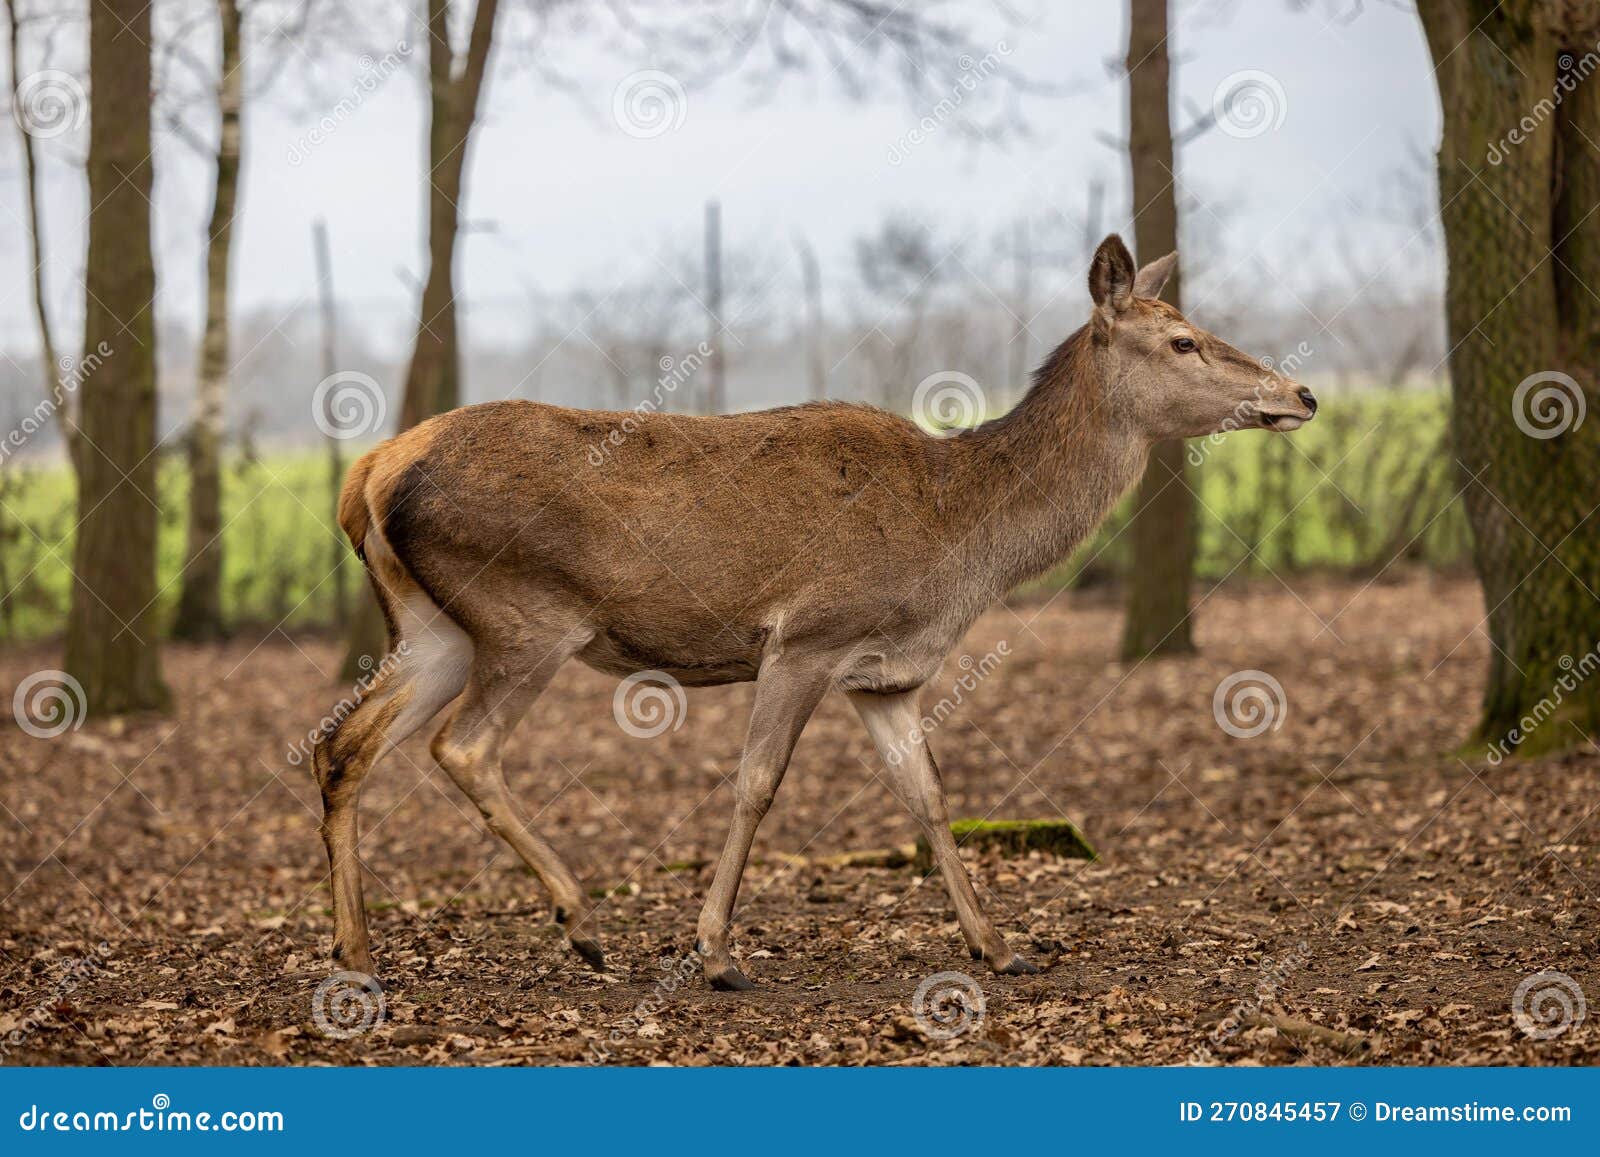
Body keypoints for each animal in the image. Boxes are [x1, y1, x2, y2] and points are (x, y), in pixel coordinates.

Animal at [309, 235, 1317, 990]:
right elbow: (757, 782)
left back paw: (358, 952)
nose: (1301, 392)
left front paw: (998, 945)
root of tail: (369, 474)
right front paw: (716, 951)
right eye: (1183, 340)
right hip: (528, 616)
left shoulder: (887, 675)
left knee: (343, 742)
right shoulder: (807, 635)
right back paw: (582, 921)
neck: (959, 541)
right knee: (462, 744)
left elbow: (929, 795)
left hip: (431, 627)